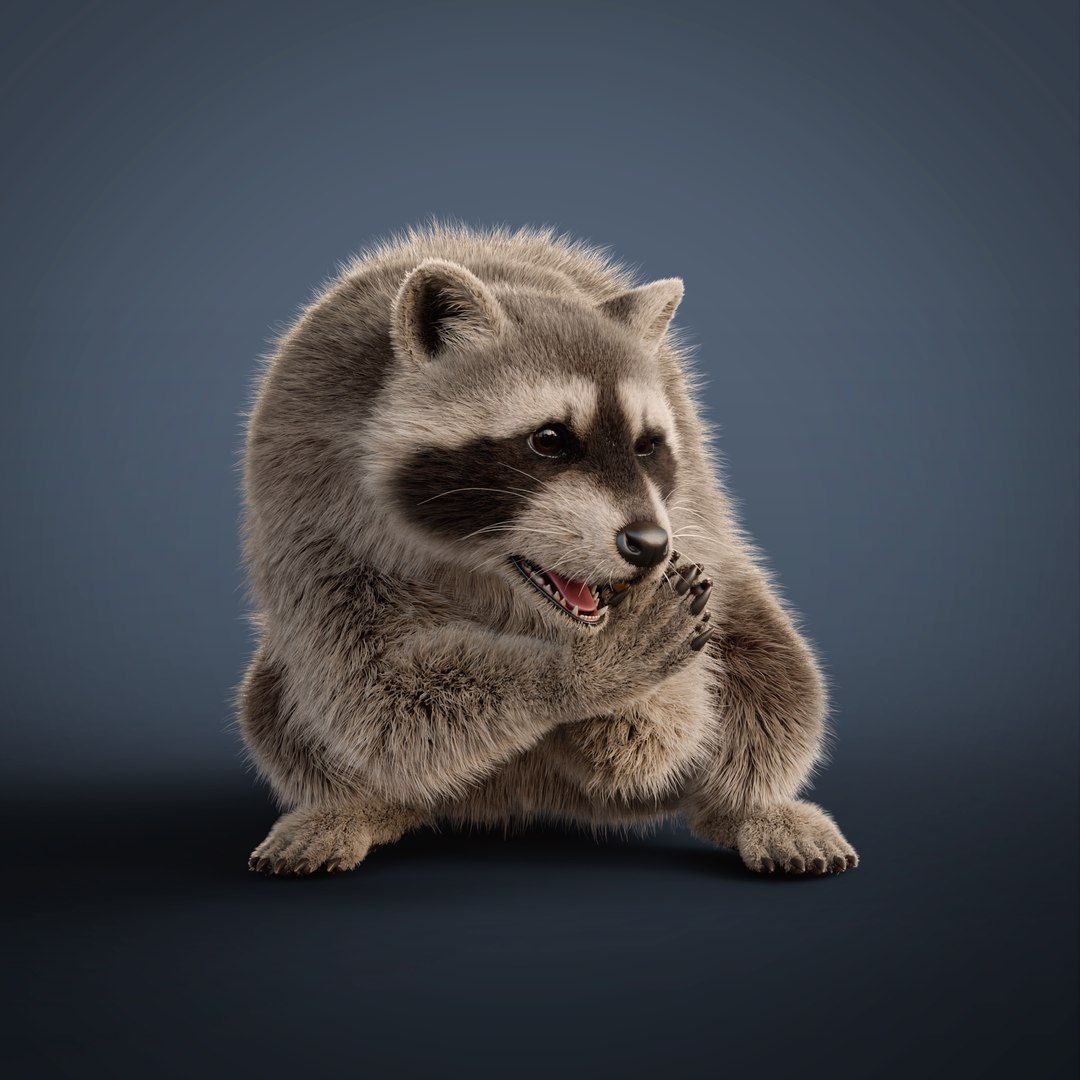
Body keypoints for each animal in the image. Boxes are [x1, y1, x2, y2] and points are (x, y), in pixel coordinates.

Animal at [238, 223, 858, 877]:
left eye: (647, 446)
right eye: (549, 441)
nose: (648, 545)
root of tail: (517, 798)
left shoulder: (689, 506)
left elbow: (685, 704)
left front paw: (632, 712)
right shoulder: (310, 496)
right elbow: (370, 693)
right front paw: (579, 676)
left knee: (775, 668)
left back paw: (752, 808)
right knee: (280, 706)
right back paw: (355, 807)